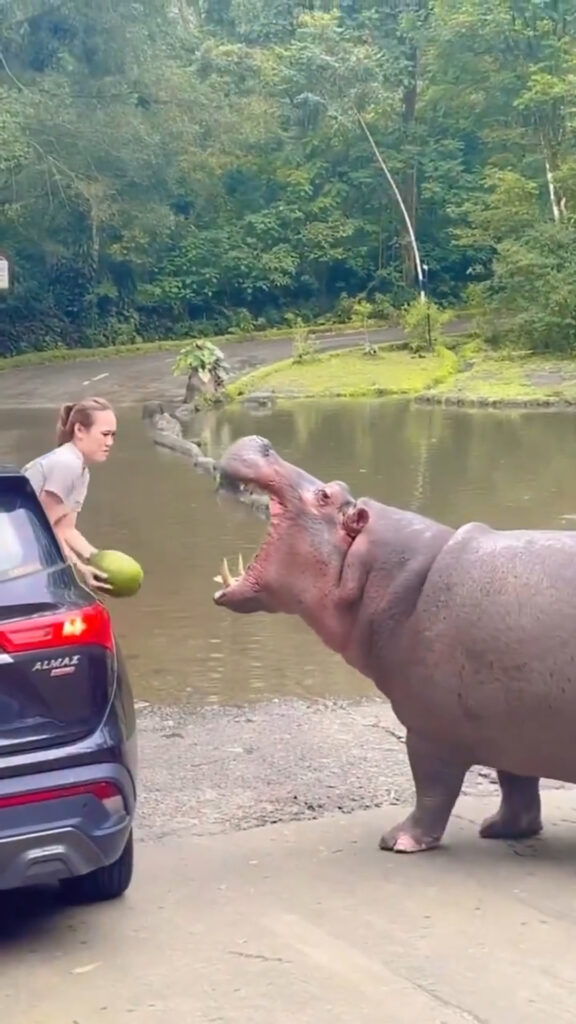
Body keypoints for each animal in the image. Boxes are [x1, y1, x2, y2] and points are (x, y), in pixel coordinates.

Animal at [212, 434, 576, 855]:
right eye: (337, 488)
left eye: (325, 495)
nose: (264, 443)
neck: (386, 574)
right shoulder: (512, 724)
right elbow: (516, 780)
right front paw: (501, 828)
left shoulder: (431, 731)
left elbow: (431, 789)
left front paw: (398, 841)